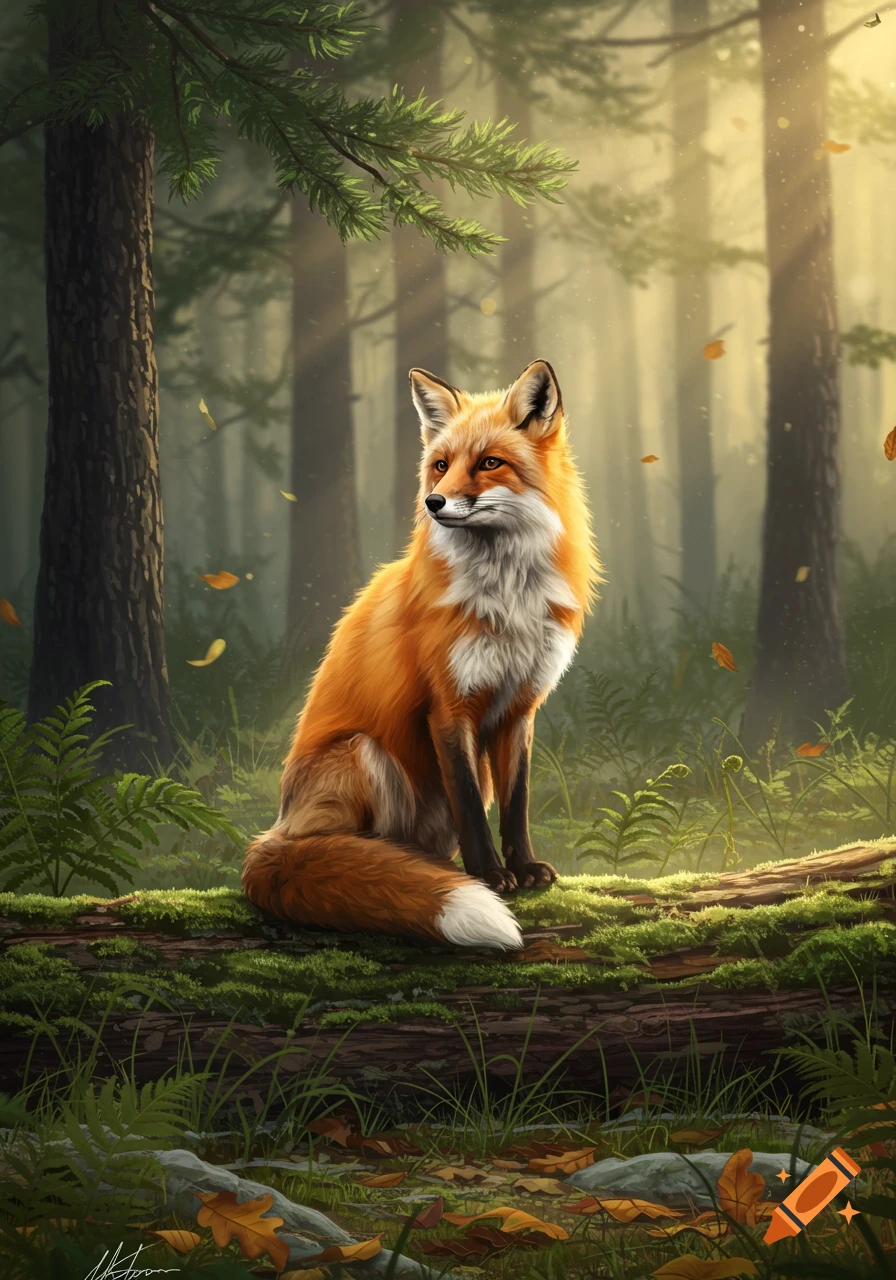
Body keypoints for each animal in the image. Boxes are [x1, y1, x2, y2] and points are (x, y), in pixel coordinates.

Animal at [242, 359, 600, 950]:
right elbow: (472, 810)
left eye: (490, 463)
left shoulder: (520, 708)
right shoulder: (448, 708)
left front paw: (524, 869)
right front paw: (490, 876)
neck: (508, 599)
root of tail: (280, 829)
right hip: (364, 752)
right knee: (360, 848)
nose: (435, 504)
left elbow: (517, 804)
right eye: (440, 466)